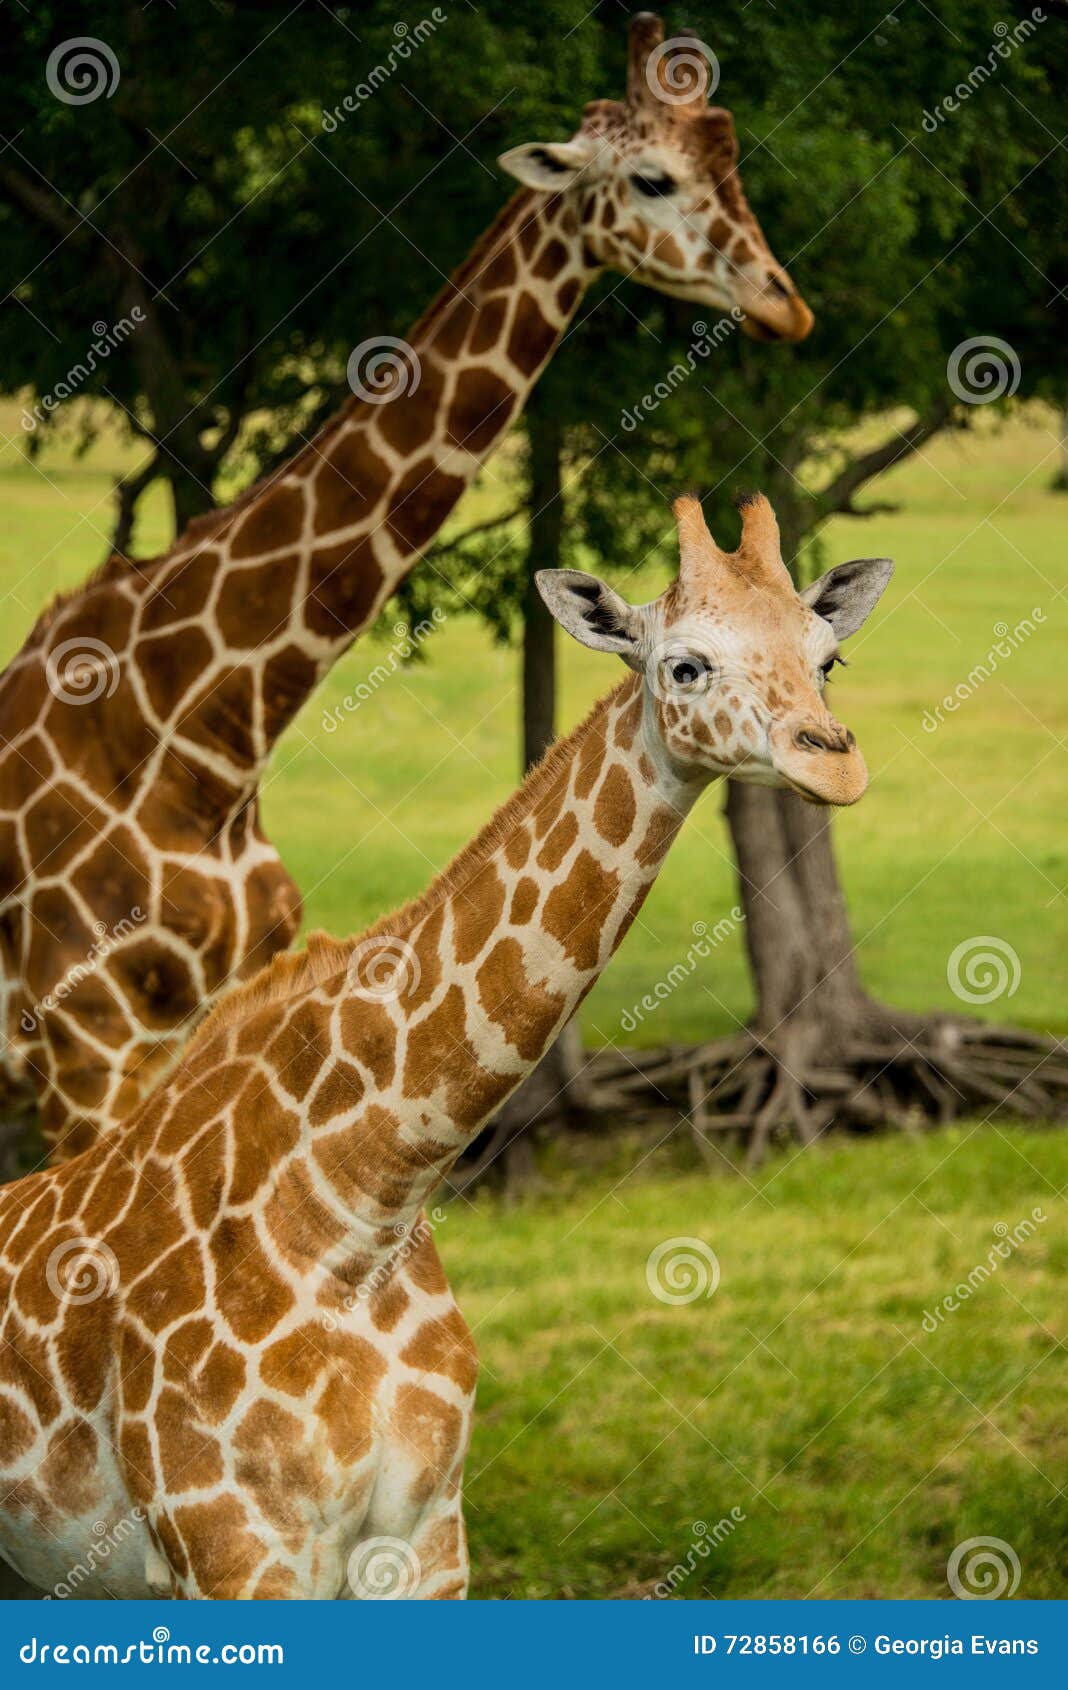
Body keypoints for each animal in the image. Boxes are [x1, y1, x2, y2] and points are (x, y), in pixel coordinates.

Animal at [0, 11, 814, 1163]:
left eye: (732, 168)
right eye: (653, 178)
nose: (784, 304)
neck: (206, 730)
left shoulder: (209, 1022)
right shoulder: (86, 1045)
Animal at [0, 493, 892, 1599]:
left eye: (827, 658)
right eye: (685, 664)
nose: (833, 759)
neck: (362, 1208)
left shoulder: (425, 1533)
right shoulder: (231, 1544)